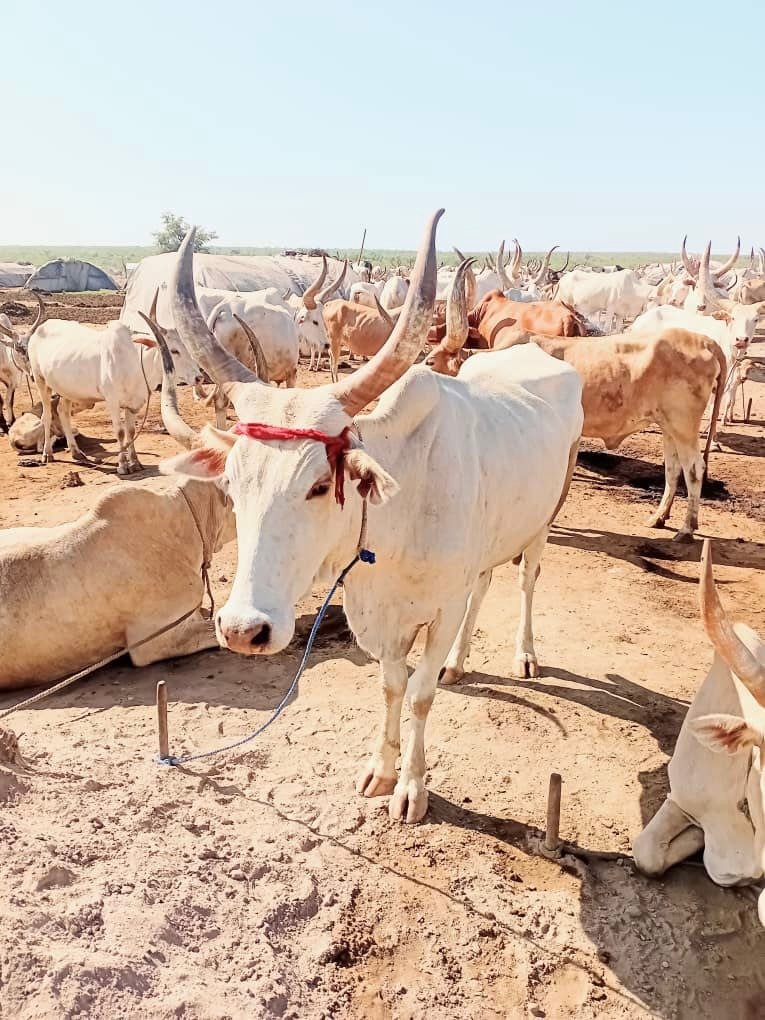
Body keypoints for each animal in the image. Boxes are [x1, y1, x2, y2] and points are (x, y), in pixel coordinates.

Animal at [159, 213, 584, 824]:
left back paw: (524, 653)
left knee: (527, 578)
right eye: (233, 487)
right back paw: (461, 660)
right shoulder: (381, 615)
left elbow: (421, 694)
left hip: (546, 518)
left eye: (318, 485)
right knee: (484, 584)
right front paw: (382, 770)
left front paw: (412, 787)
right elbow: (391, 686)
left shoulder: (439, 609)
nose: (243, 630)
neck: (398, 522)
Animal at [428, 264, 726, 541]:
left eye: (430, 361)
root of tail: (706, 342)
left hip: (683, 427)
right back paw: (658, 518)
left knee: (694, 469)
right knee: (673, 469)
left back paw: (687, 528)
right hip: (668, 427)